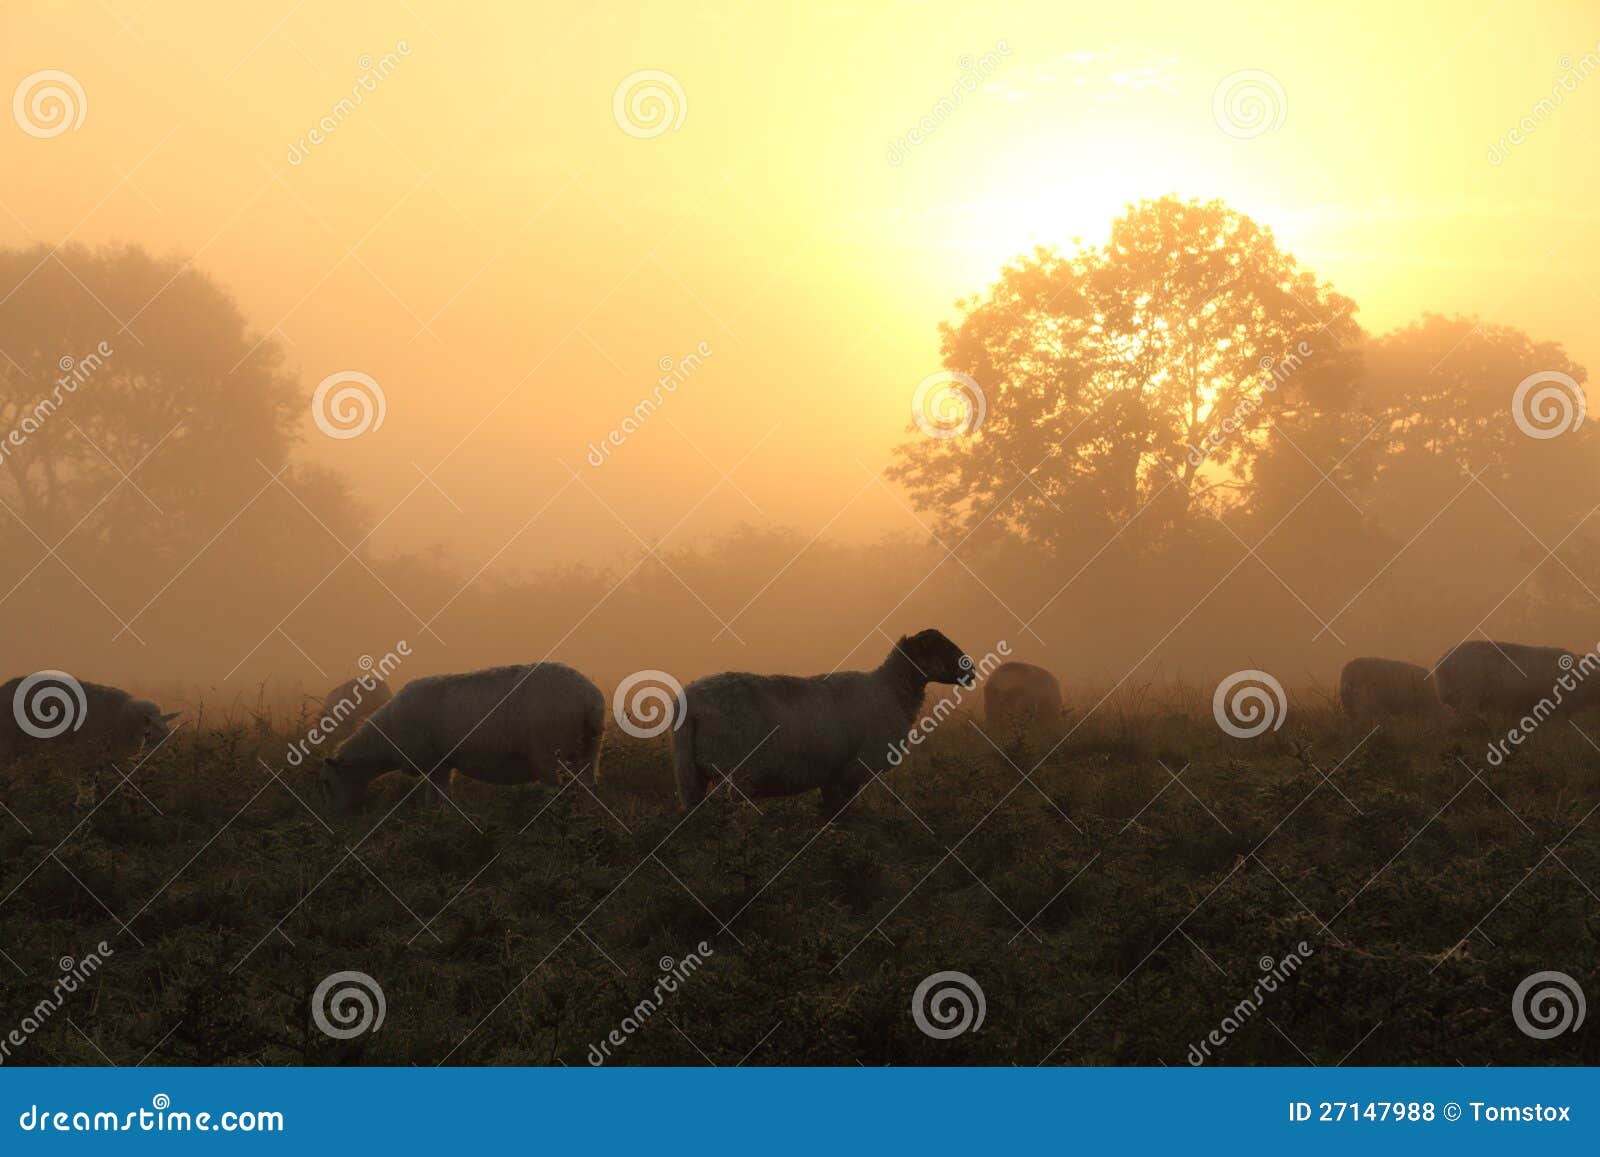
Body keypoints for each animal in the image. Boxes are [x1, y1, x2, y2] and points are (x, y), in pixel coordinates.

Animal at [319, 663, 604, 815]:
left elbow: (442, 797)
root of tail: (588, 698)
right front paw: (431, 818)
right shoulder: (439, 765)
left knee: (557, 791)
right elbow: (432, 796)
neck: (385, 739)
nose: (337, 818)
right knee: (589, 787)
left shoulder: (435, 762)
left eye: (328, 784)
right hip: (588, 751)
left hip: (548, 755)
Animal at [671, 628, 973, 814]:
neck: (892, 691)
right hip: (739, 772)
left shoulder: (832, 774)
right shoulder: (852, 770)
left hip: (689, 773)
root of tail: (691, 699)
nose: (970, 669)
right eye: (938, 647)